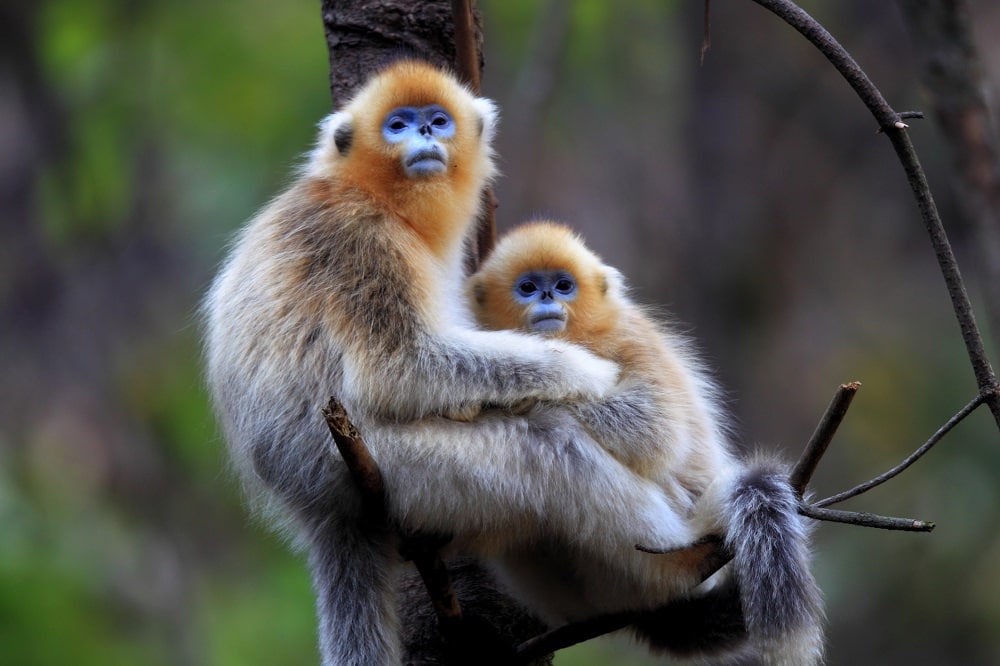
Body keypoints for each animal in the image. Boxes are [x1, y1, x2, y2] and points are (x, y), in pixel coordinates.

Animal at [203, 61, 718, 666]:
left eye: (438, 120)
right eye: (398, 125)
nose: (424, 133)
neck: (363, 191)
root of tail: (311, 505)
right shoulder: (360, 235)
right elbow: (398, 367)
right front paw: (582, 372)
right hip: (385, 466)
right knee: (553, 445)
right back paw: (686, 559)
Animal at [466, 221, 825, 665]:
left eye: (564, 285)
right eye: (528, 287)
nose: (548, 297)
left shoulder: (630, 337)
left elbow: (656, 430)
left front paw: (518, 393)